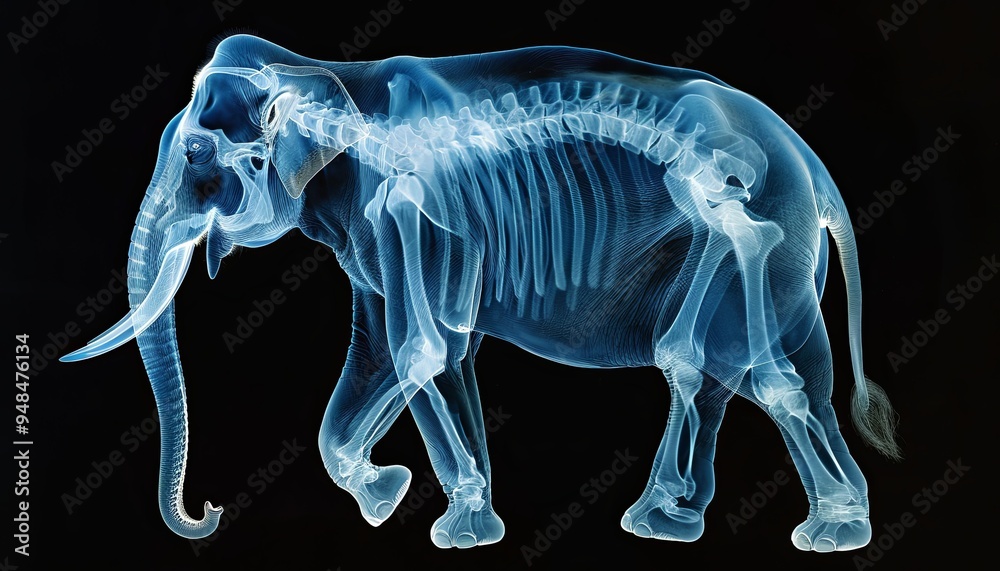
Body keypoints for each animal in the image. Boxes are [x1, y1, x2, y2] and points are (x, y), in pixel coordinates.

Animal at [62, 35, 900, 552]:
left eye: (198, 150)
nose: (206, 509)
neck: (320, 78)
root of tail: (808, 162)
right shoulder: (387, 244)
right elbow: (418, 357)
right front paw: (411, 501)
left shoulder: (402, 209)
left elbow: (418, 349)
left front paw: (425, 508)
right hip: (758, 270)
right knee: (724, 365)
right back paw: (678, 518)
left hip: (753, 225)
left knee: (771, 363)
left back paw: (824, 532)